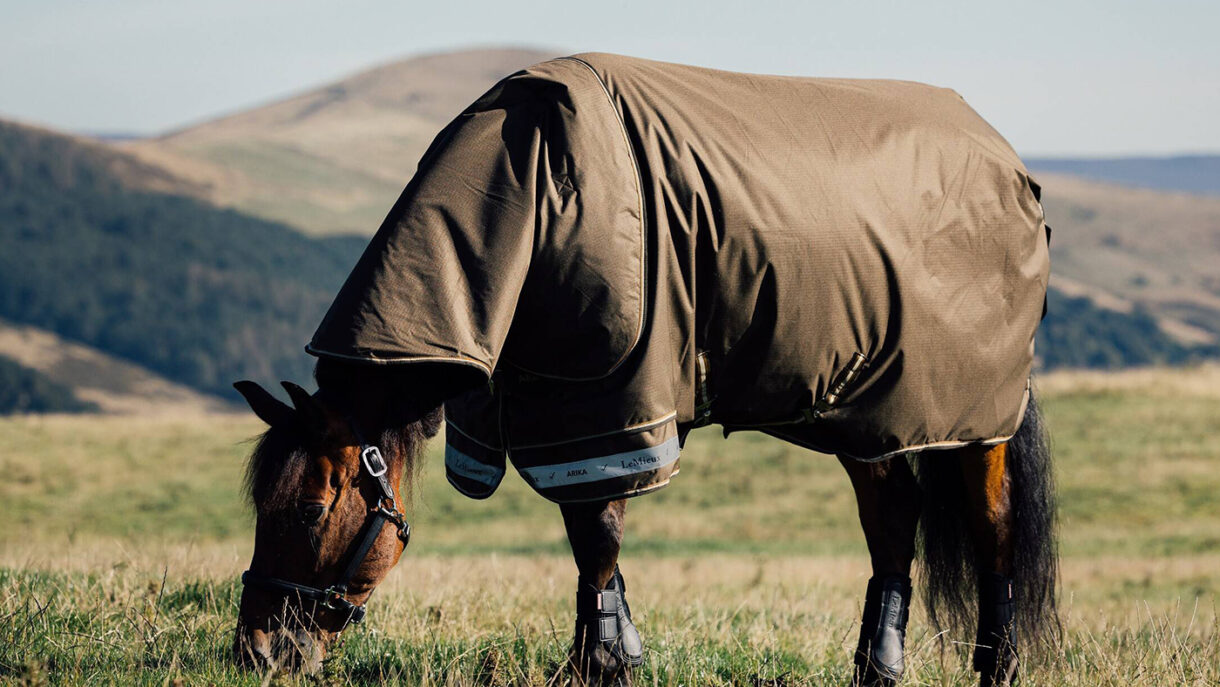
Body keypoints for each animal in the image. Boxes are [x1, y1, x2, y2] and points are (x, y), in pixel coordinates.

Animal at [231, 52, 1057, 686]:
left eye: (310, 508)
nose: (256, 651)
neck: (534, 198)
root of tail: (1009, 163)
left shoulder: (613, 400)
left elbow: (598, 539)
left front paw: (594, 665)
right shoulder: (560, 407)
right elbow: (587, 540)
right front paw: (612, 655)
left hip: (970, 416)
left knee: (991, 524)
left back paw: (998, 664)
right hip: (865, 405)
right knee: (893, 521)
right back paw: (877, 666)